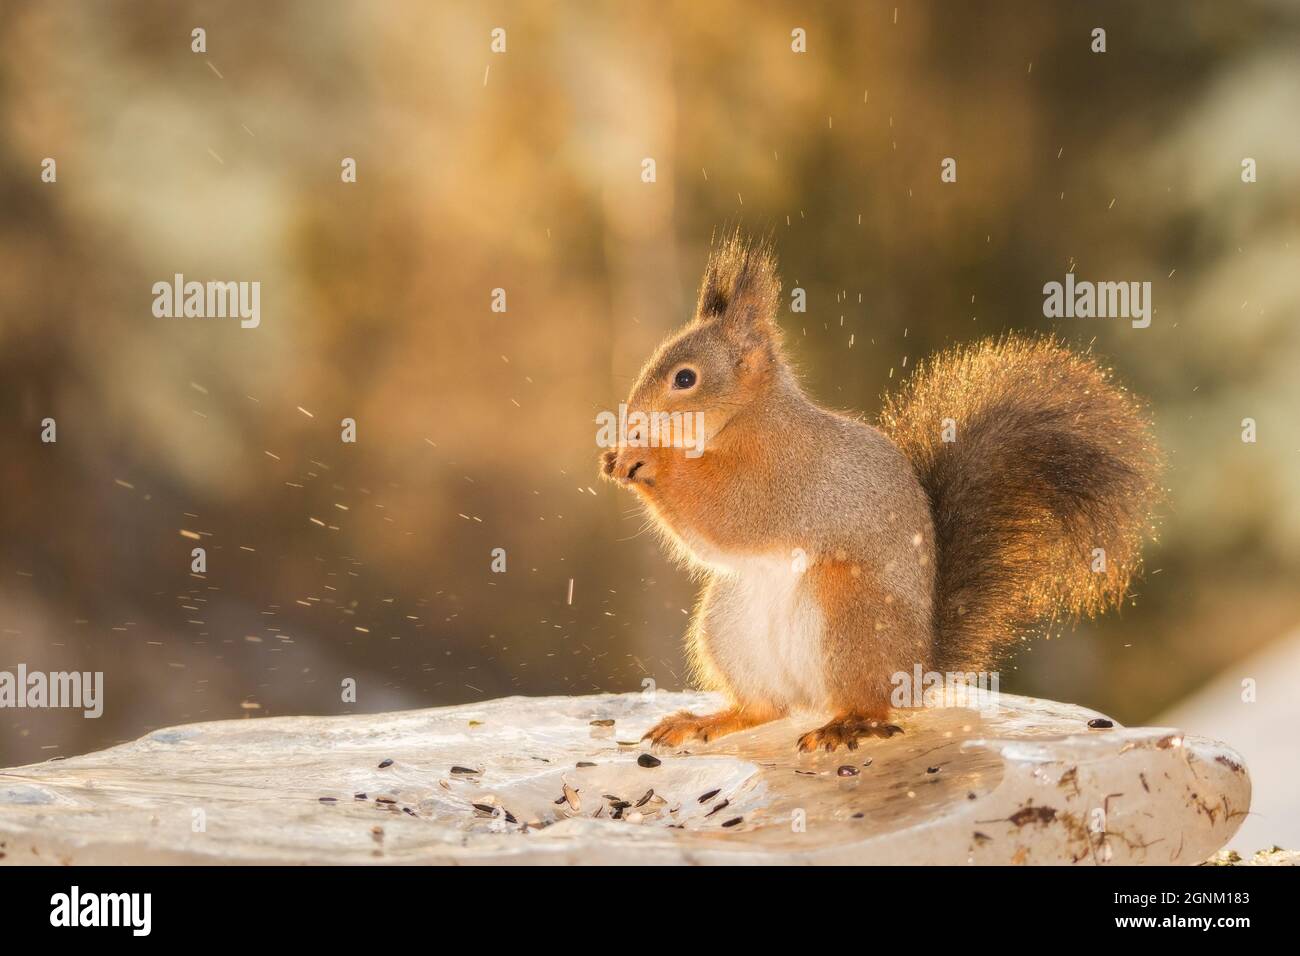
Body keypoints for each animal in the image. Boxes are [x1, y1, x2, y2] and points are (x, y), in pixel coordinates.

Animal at [601, 231, 1162, 753]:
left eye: (685, 378)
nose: (632, 419)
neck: (749, 416)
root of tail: (915, 674)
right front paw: (617, 455)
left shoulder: (783, 474)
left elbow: (728, 512)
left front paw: (648, 457)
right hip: (729, 624)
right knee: (768, 708)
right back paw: (709, 721)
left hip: (848, 612)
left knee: (867, 702)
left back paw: (846, 726)